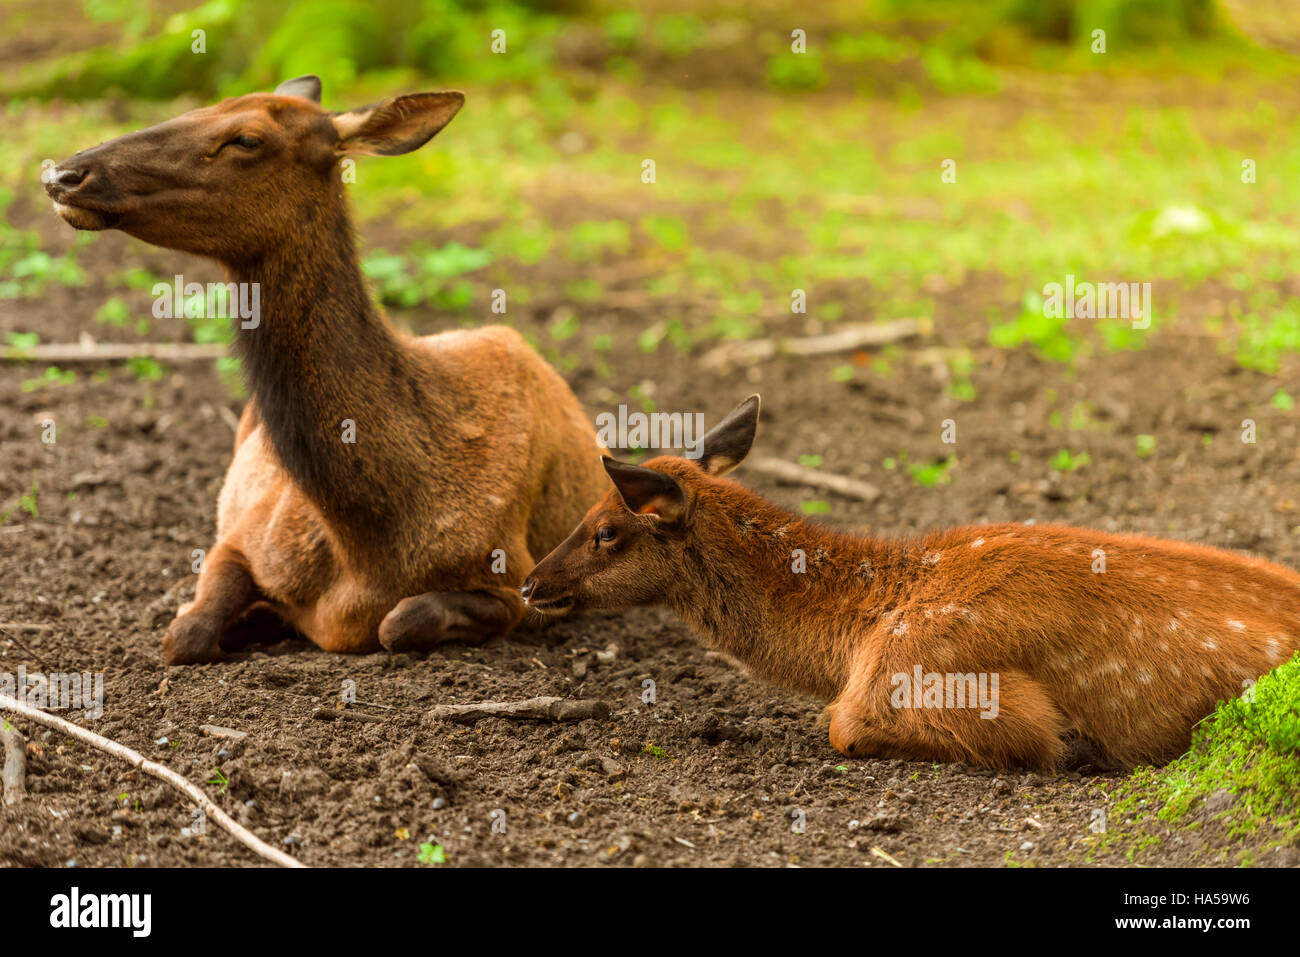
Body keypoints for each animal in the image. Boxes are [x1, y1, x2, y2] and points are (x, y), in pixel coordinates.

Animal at [44, 75, 609, 664]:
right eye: (201, 104)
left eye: (247, 139)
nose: (63, 174)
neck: (365, 539)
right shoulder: (243, 534)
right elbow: (185, 634)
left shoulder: (514, 577)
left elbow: (399, 621)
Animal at [521, 395, 1300, 771]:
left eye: (605, 530)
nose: (528, 583)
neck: (857, 630)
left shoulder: (918, 675)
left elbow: (839, 724)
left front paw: (1073, 744)